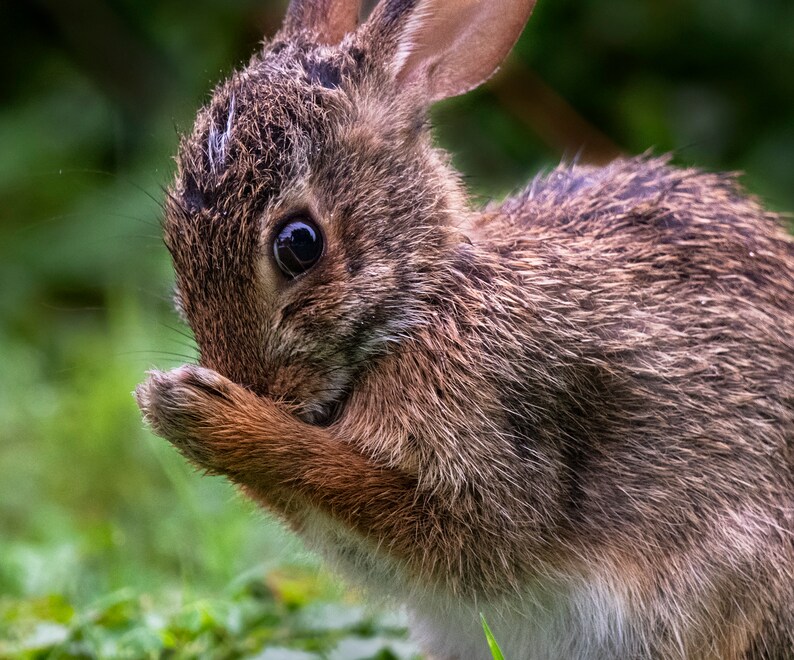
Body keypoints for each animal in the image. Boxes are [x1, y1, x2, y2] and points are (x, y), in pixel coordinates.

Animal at [134, 0, 794, 658]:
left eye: (299, 243)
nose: (250, 383)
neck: (423, 304)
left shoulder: (508, 464)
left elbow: (350, 485)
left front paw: (195, 409)